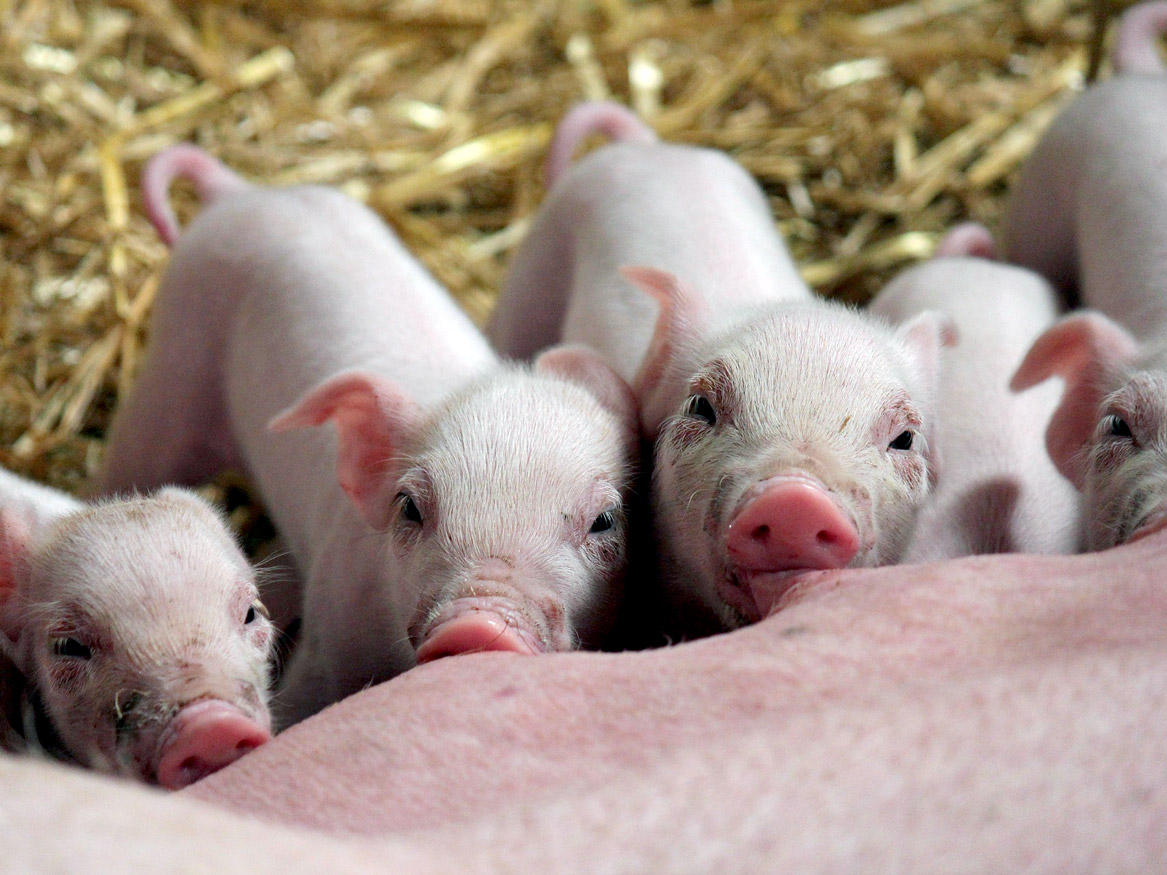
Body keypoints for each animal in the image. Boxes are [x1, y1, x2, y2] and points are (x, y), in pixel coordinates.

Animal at [100, 145, 638, 725]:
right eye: (410, 508)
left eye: (605, 521)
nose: (478, 622)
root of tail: (237, 192)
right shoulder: (333, 634)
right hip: (174, 372)